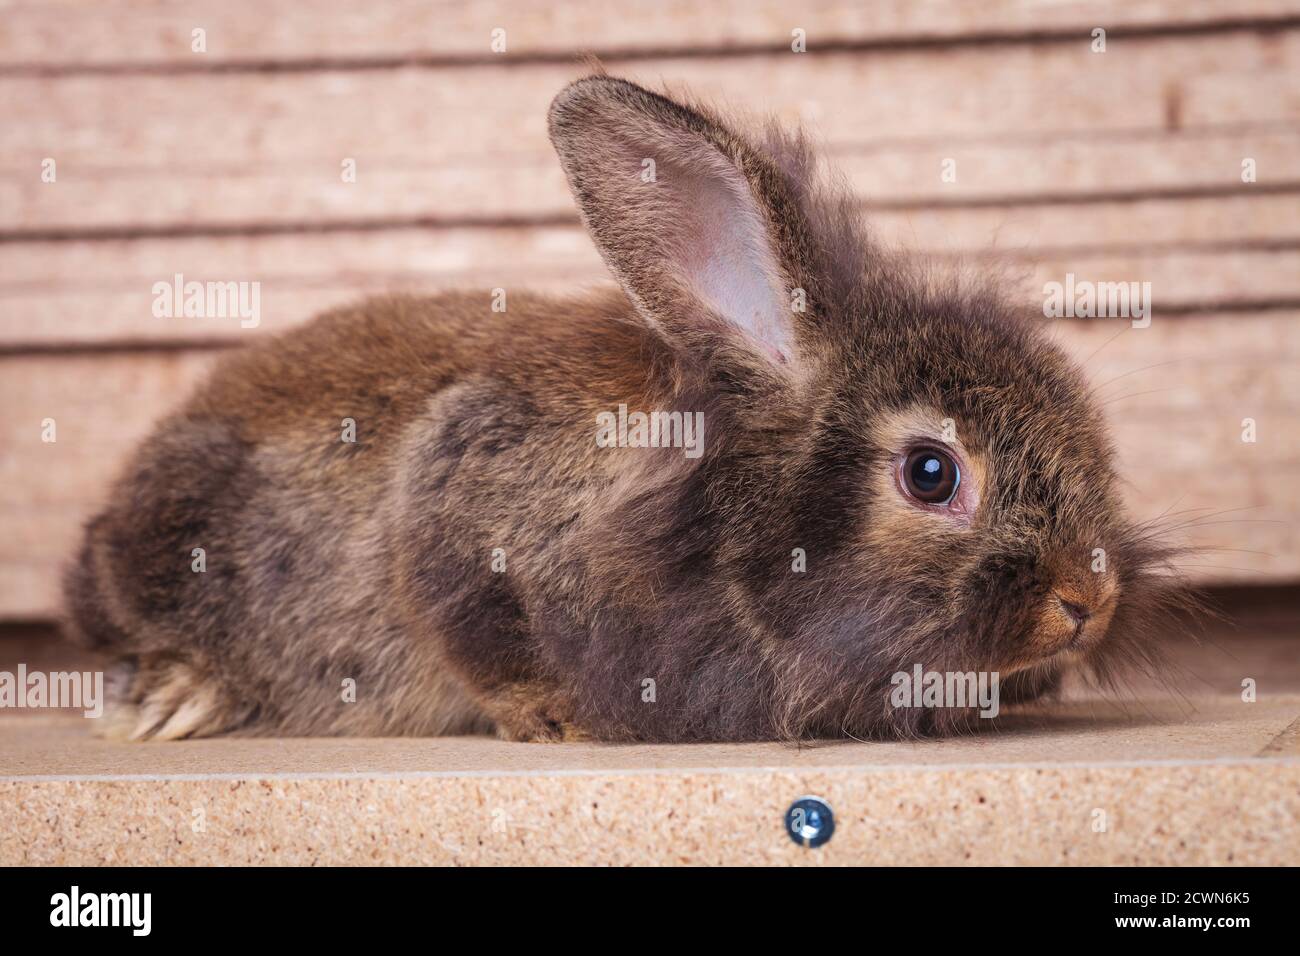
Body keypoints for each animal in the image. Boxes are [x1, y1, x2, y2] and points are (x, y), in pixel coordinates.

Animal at [63, 72, 1190, 743]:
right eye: (930, 473)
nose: (1087, 598)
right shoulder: (456, 502)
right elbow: (478, 632)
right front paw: (560, 720)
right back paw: (178, 698)